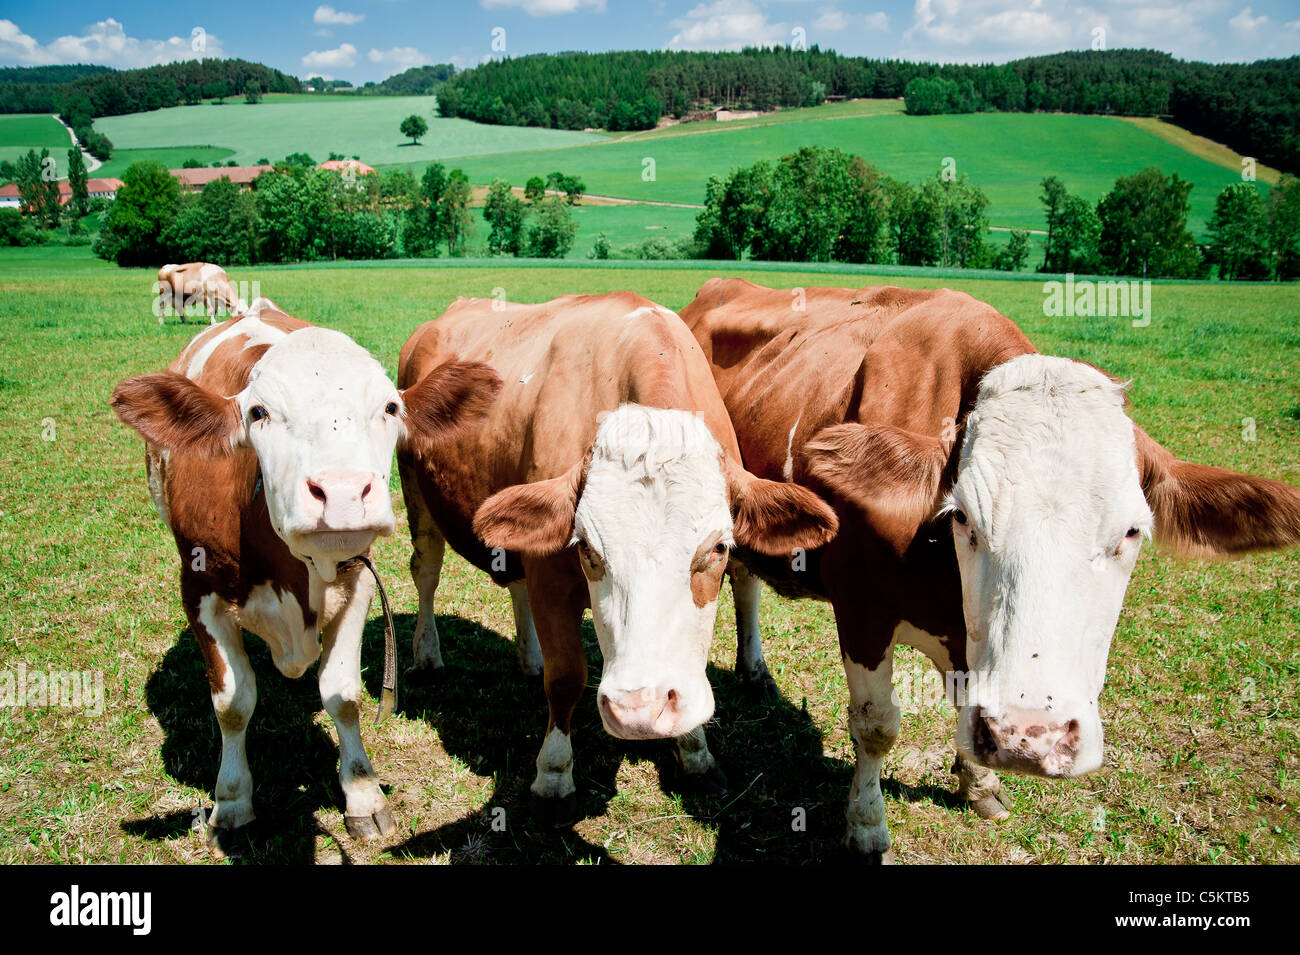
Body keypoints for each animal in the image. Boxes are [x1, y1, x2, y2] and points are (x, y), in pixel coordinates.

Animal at [110, 297, 501, 844]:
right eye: (258, 413)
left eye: (390, 408)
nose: (342, 492)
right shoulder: (198, 590)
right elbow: (232, 701)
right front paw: (232, 801)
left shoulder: (357, 582)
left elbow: (342, 694)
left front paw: (362, 793)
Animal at [396, 292, 838, 821]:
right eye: (587, 547)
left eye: (718, 547)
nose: (638, 709)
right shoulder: (552, 580)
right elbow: (567, 677)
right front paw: (553, 775)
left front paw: (695, 752)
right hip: (414, 489)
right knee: (425, 572)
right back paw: (428, 654)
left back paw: (528, 658)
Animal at [680, 277, 1300, 861]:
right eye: (964, 517)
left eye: (1131, 532)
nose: (1032, 738)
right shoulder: (862, 610)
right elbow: (876, 725)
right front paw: (867, 825)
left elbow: (963, 705)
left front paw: (978, 784)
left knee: (745, 582)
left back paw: (755, 670)